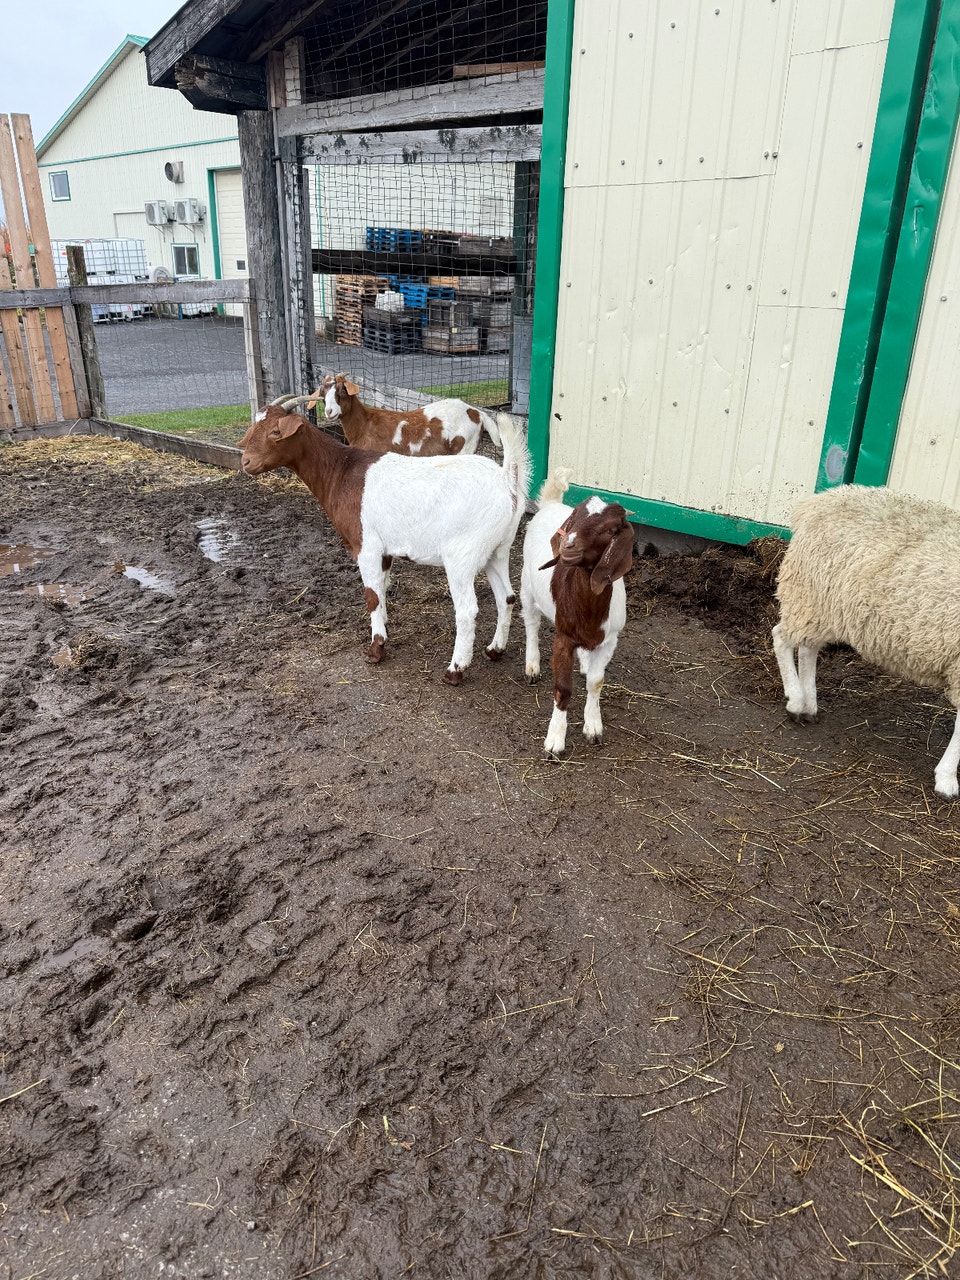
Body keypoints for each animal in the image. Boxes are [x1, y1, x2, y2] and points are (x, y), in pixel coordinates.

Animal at [239, 400, 530, 683]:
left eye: (276, 431)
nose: (246, 462)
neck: (341, 471)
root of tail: (506, 480)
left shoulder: (366, 546)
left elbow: (371, 596)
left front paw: (376, 648)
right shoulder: (385, 549)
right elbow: (383, 588)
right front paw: (385, 626)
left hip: (462, 556)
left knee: (467, 610)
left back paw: (455, 670)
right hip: (497, 550)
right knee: (507, 597)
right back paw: (495, 650)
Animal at [307, 373, 501, 457]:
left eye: (342, 391)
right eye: (322, 395)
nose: (329, 412)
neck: (365, 425)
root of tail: (476, 412)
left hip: (464, 448)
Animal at [520, 470, 634, 754]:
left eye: (610, 530)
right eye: (575, 518)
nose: (567, 546)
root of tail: (550, 504)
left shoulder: (609, 640)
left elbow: (596, 681)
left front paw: (593, 727)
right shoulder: (564, 637)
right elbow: (563, 688)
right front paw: (555, 741)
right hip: (527, 587)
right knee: (531, 624)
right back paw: (532, 665)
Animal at [774, 483, 960, 799]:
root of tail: (821, 501)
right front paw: (946, 779)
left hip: (826, 603)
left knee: (809, 647)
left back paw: (809, 702)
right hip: (808, 590)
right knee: (781, 637)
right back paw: (796, 700)